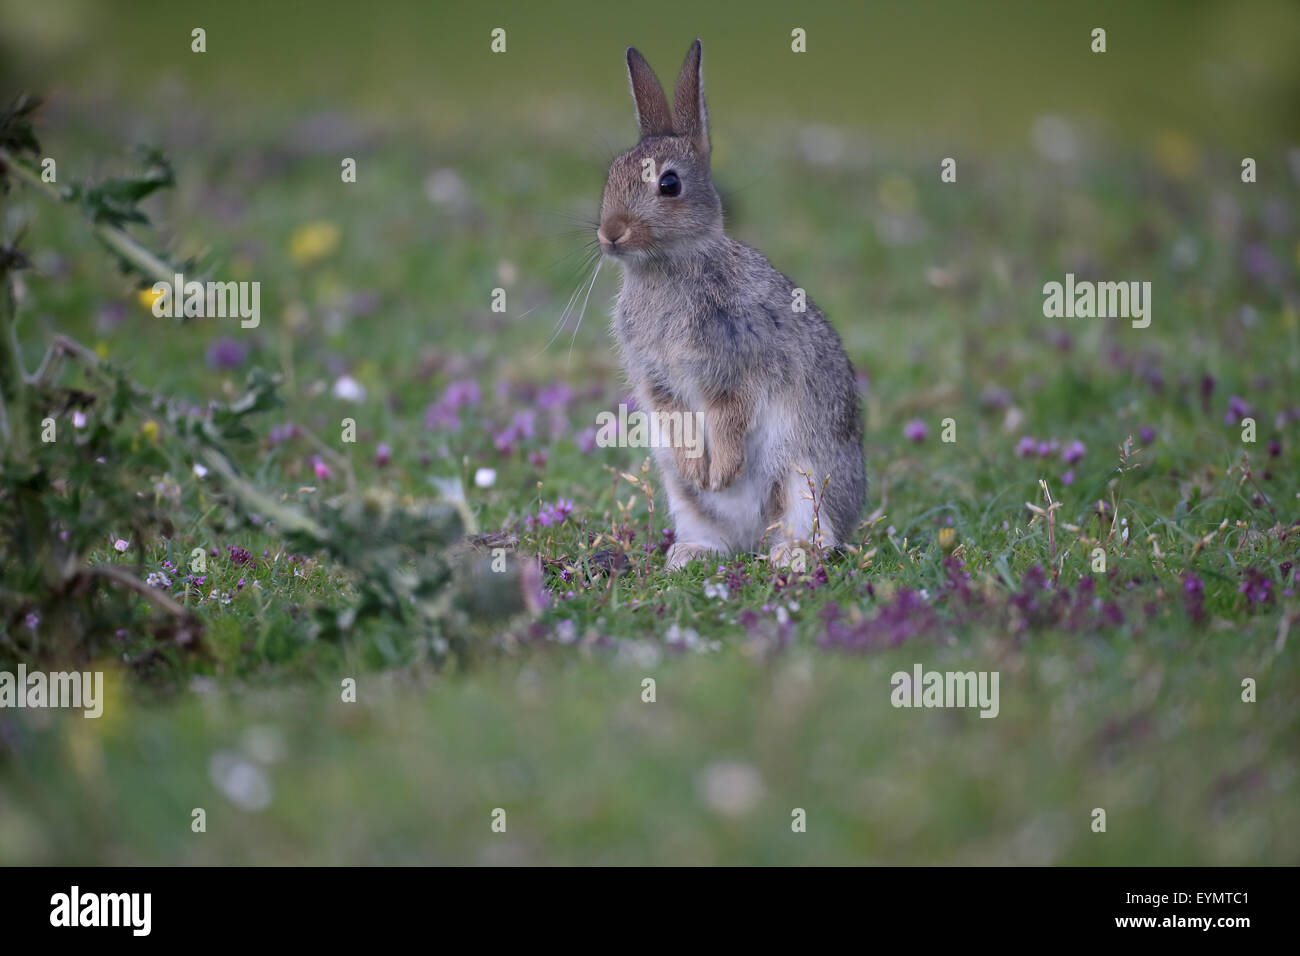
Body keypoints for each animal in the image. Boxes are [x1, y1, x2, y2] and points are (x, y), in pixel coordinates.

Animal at [597, 39, 866, 571]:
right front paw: (703, 472)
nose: (609, 232)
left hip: (805, 475)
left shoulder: (740, 365)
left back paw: (790, 557)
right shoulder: (657, 380)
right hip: (682, 497)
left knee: (812, 528)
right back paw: (693, 552)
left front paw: (720, 473)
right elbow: (675, 418)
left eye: (669, 184)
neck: (670, 266)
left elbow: (730, 418)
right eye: (612, 175)